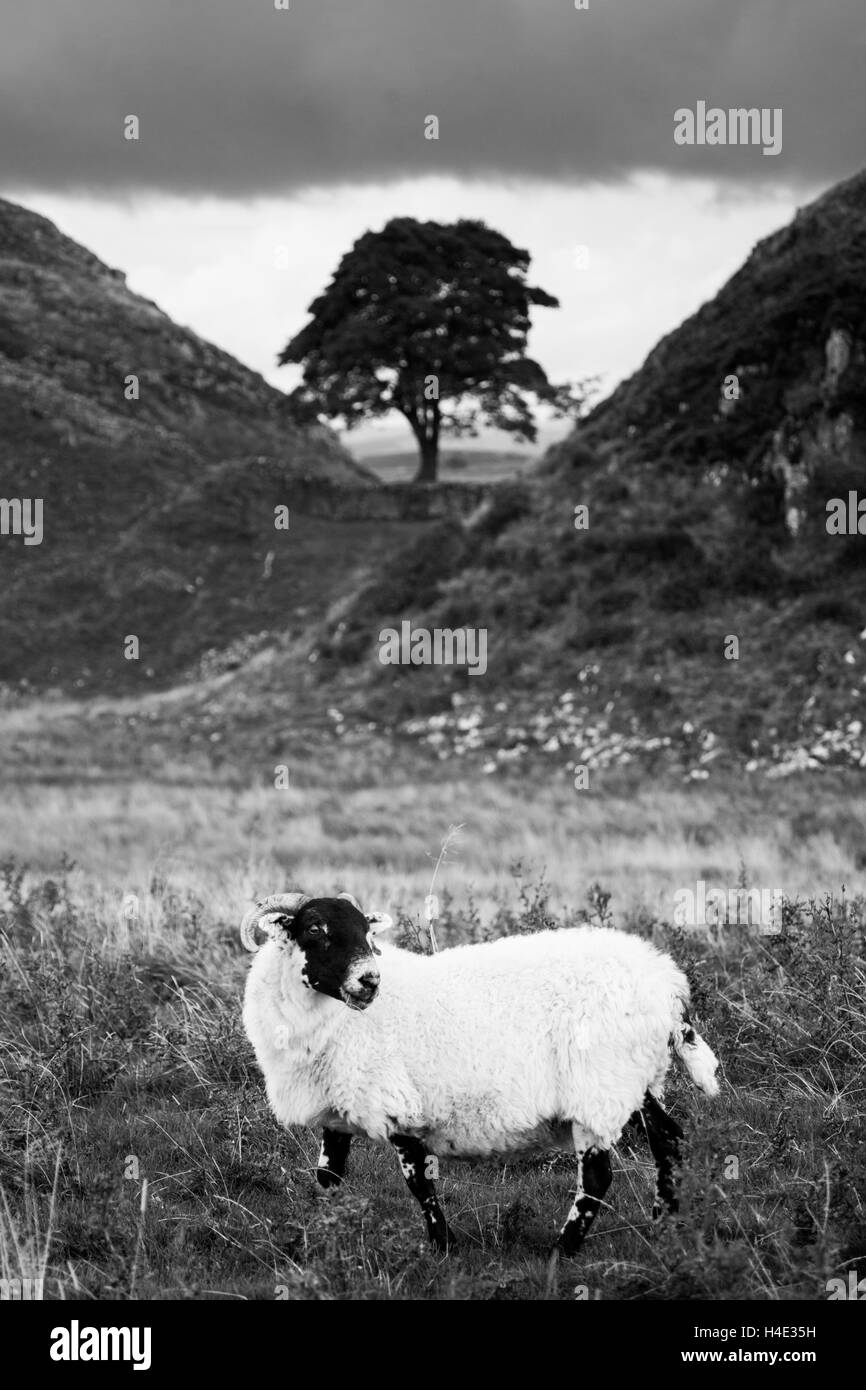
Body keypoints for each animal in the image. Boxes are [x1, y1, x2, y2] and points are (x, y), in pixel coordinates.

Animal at [240, 890, 720, 1256]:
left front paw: (443, 1247)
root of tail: (666, 981)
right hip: (631, 1080)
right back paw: (663, 1226)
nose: (370, 980)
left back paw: (562, 1251)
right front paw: (327, 1238)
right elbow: (328, 1178)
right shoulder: (340, 1108)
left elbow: (420, 1185)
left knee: (598, 1176)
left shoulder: (399, 1105)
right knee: (669, 1139)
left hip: (597, 1084)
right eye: (314, 929)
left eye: (367, 932)